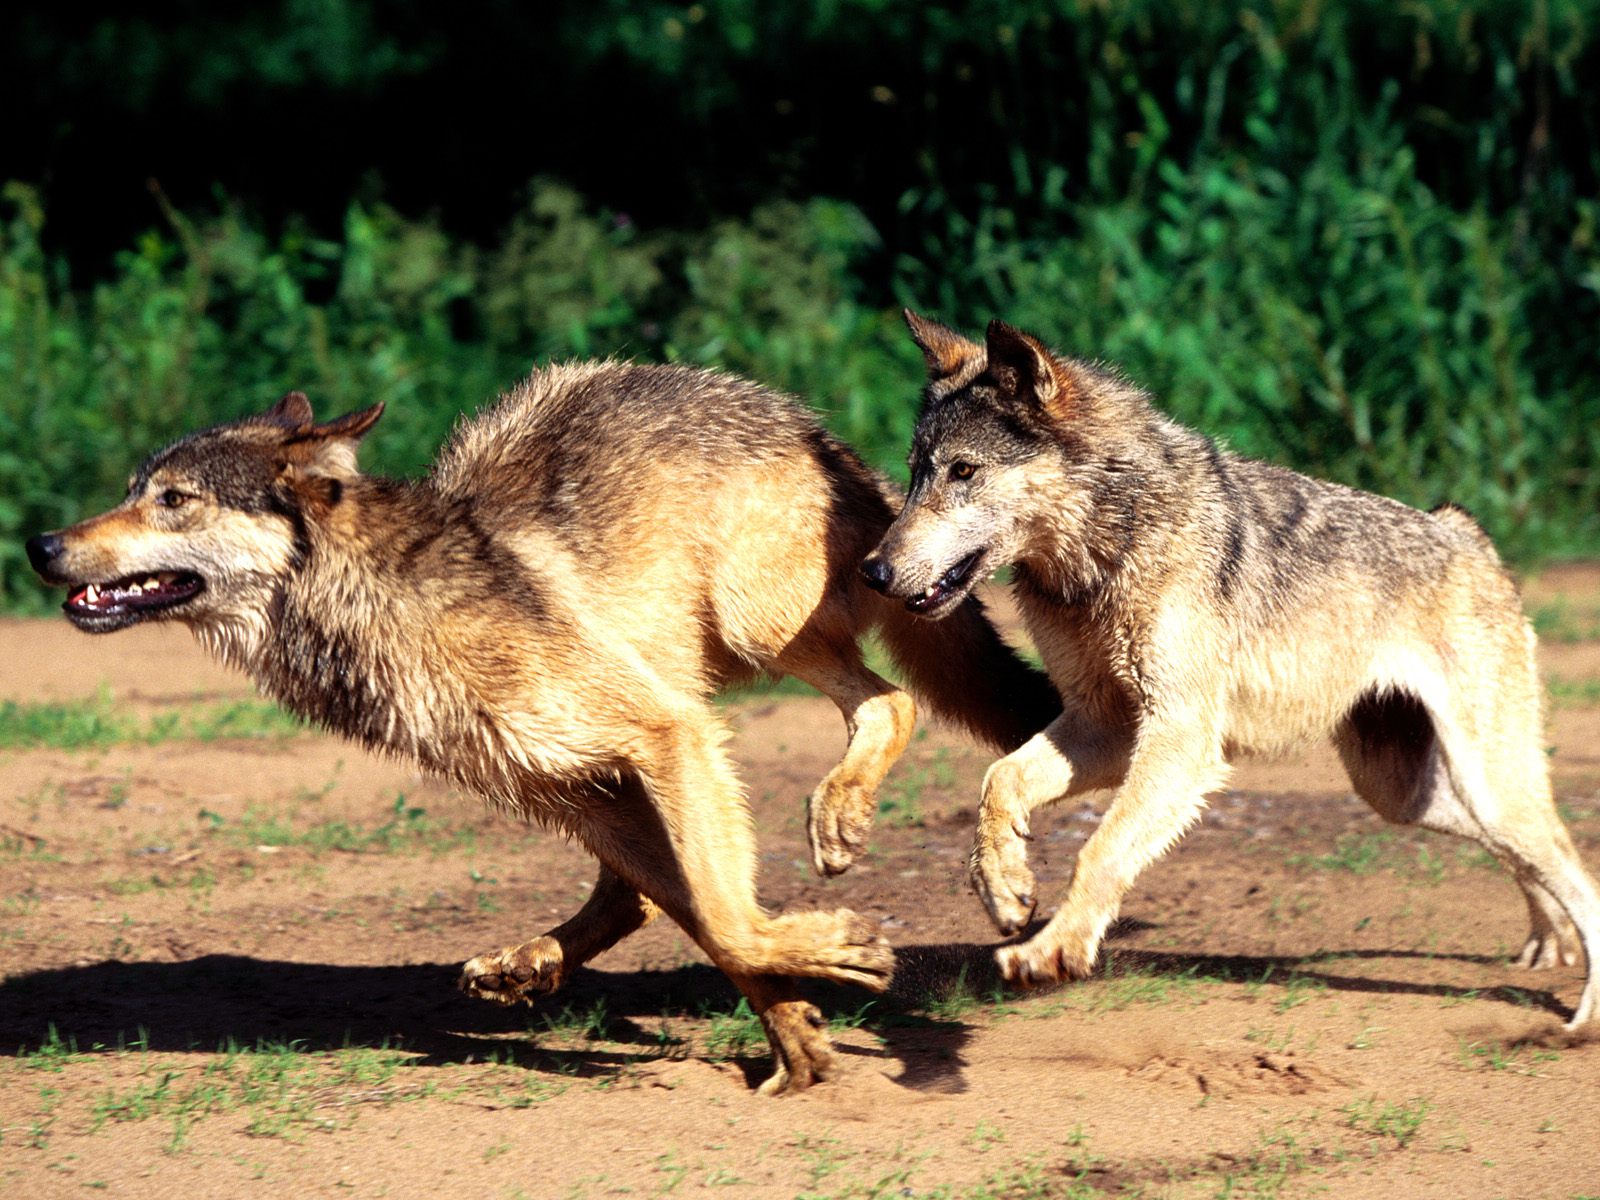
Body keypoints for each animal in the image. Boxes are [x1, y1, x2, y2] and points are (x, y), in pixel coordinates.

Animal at [25, 360, 1059, 1092]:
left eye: (174, 500)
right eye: (134, 488)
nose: (40, 544)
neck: (389, 601)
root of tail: (815, 429)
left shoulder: (665, 732)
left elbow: (730, 918)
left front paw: (838, 960)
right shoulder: (588, 777)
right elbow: (719, 924)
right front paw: (800, 1036)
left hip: (747, 636)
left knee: (889, 701)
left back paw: (837, 816)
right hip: (593, 781)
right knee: (640, 898)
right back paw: (524, 965)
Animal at [859, 311, 1600, 1031]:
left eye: (962, 472)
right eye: (916, 472)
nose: (872, 572)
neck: (1108, 550)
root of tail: (1465, 533)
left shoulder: (1182, 739)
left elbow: (1100, 851)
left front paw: (1052, 951)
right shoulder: (1107, 724)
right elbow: (999, 779)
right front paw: (1004, 889)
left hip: (1485, 783)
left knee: (1574, 866)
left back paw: (1581, 1008)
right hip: (1402, 795)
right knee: (1529, 856)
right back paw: (1548, 938)